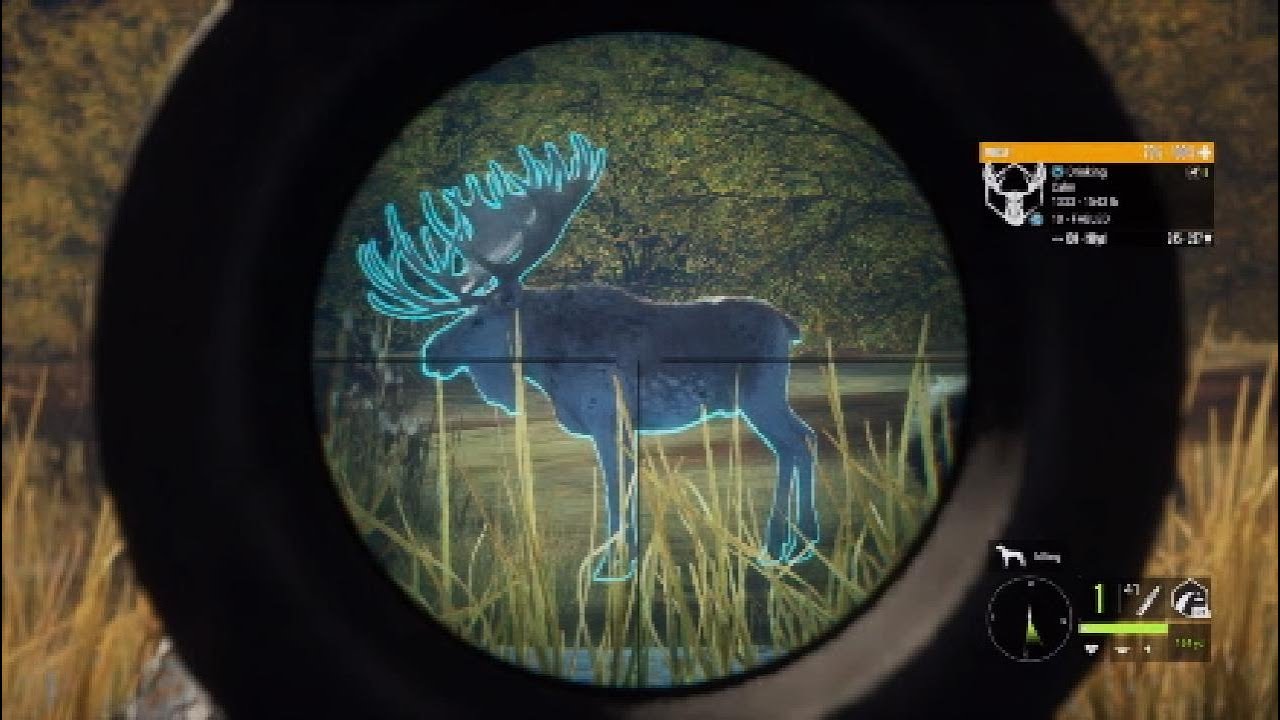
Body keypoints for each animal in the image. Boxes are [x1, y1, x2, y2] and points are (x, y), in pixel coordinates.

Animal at [355, 132, 818, 581]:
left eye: (477, 320)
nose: (430, 354)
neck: (548, 367)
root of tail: (789, 324)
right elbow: (625, 487)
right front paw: (626, 560)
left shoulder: (606, 415)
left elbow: (616, 487)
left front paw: (611, 566)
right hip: (760, 395)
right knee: (799, 440)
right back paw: (793, 539)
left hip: (759, 391)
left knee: (795, 441)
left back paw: (786, 542)